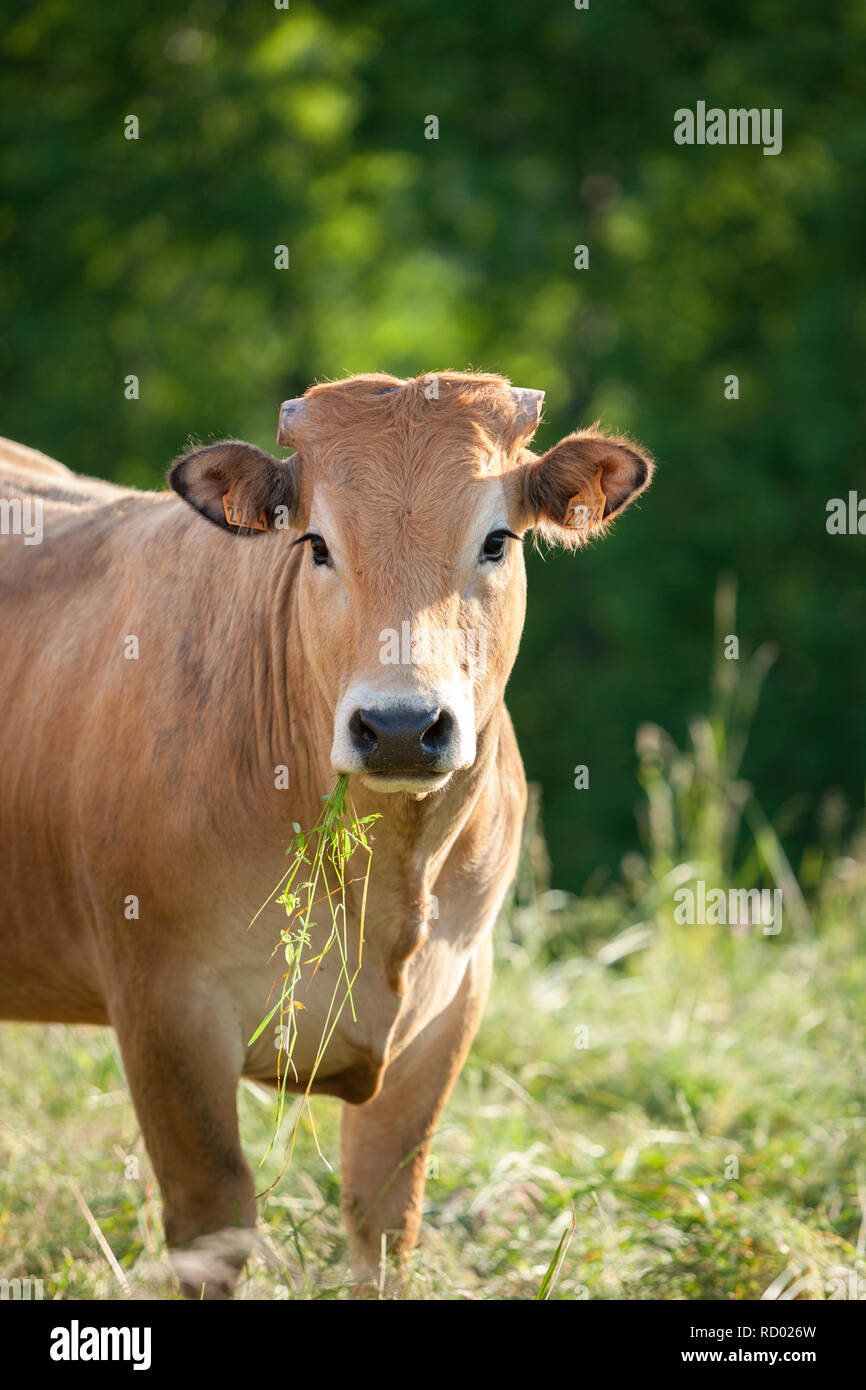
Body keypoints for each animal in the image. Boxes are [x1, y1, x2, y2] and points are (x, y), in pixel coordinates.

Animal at [0, 371, 653, 1298]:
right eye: (315, 544)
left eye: (496, 541)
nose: (402, 727)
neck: (389, 884)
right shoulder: (163, 1005)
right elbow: (213, 1220)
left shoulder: (453, 1001)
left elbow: (384, 1221)